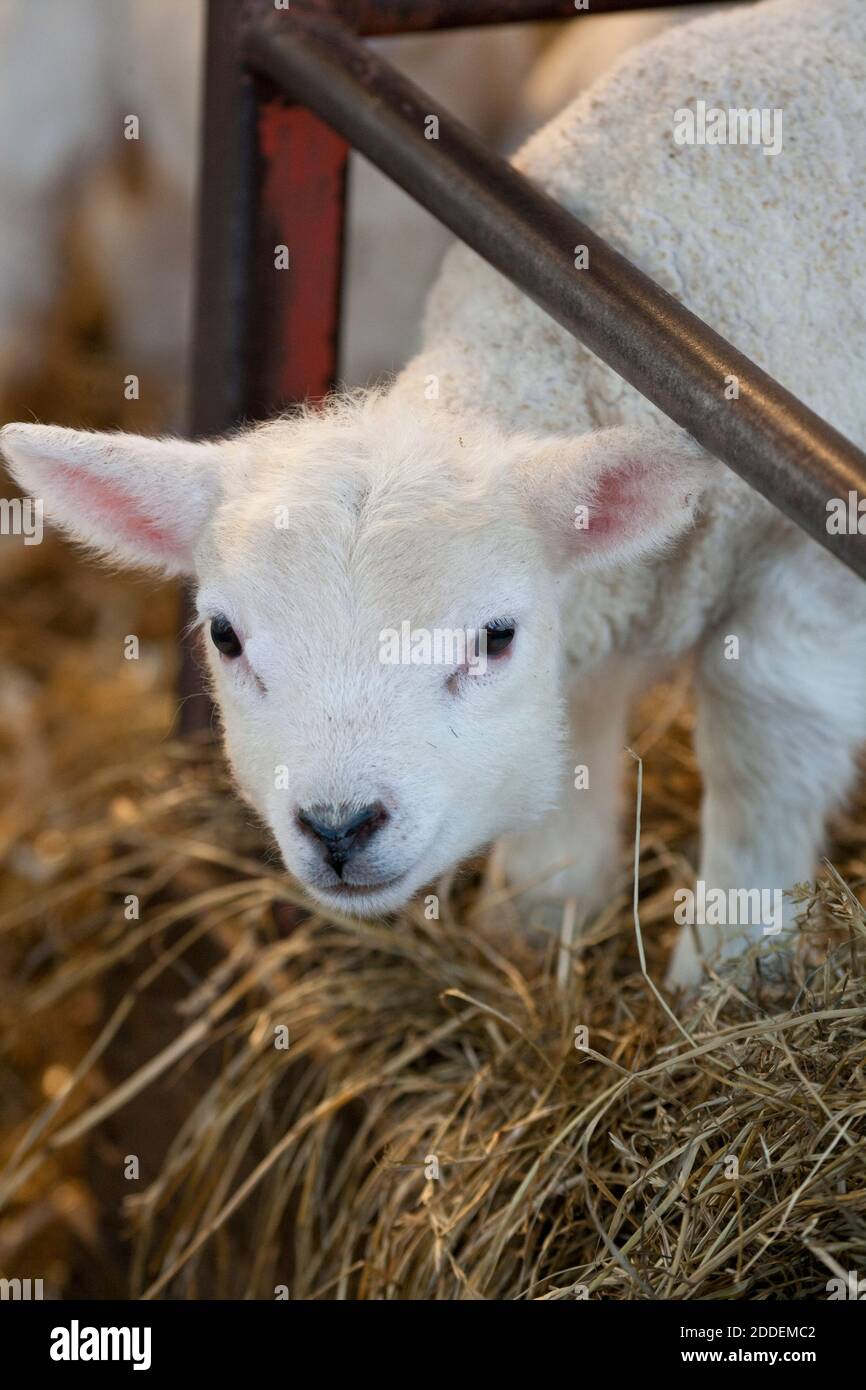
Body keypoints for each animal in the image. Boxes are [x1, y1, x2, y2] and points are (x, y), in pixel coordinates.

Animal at [3, 0, 866, 988]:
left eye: (494, 638)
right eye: (225, 638)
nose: (339, 826)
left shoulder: (807, 567)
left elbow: (764, 748)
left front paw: (731, 968)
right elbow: (577, 727)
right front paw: (533, 924)